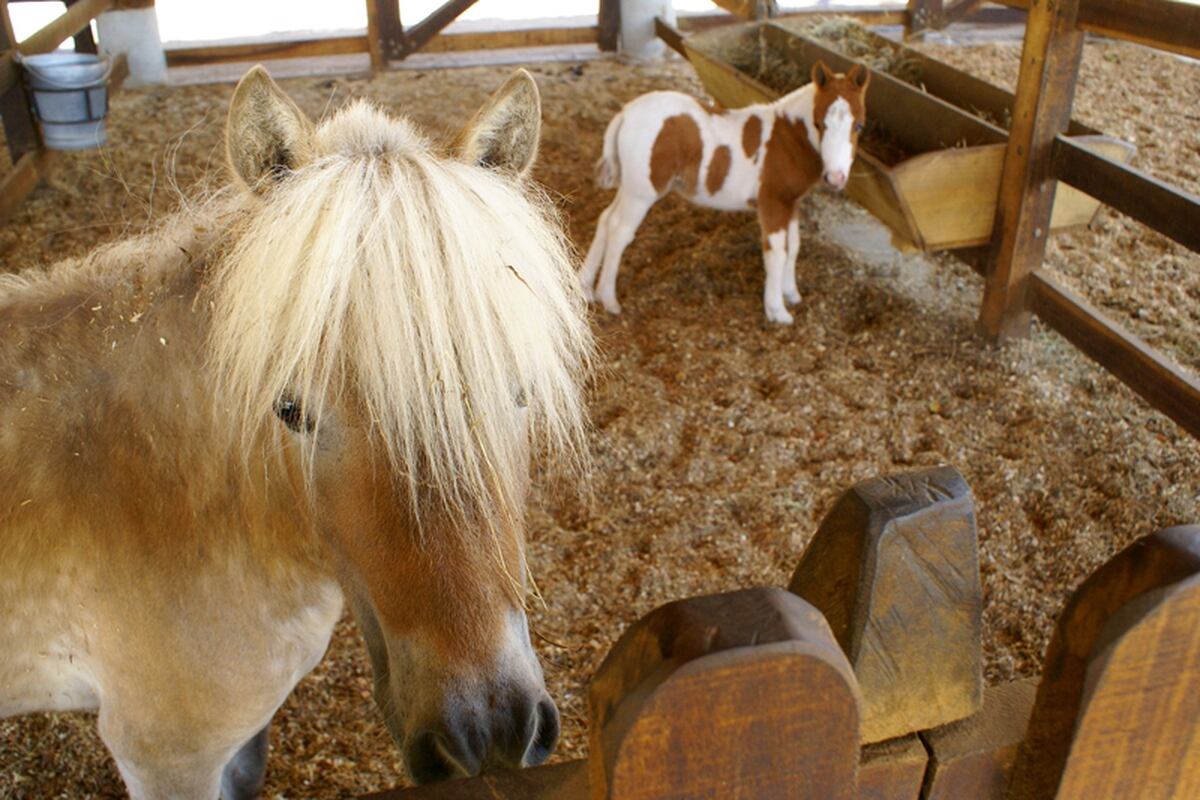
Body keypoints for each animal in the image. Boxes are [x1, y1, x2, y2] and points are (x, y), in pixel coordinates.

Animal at [578, 60, 870, 325]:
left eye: (859, 126)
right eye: (819, 123)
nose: (835, 177)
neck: (787, 139)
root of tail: (626, 112)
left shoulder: (792, 202)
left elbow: (794, 246)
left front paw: (791, 294)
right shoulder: (772, 202)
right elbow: (777, 251)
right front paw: (777, 310)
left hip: (629, 187)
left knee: (606, 220)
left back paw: (585, 287)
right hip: (642, 193)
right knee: (620, 231)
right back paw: (609, 299)